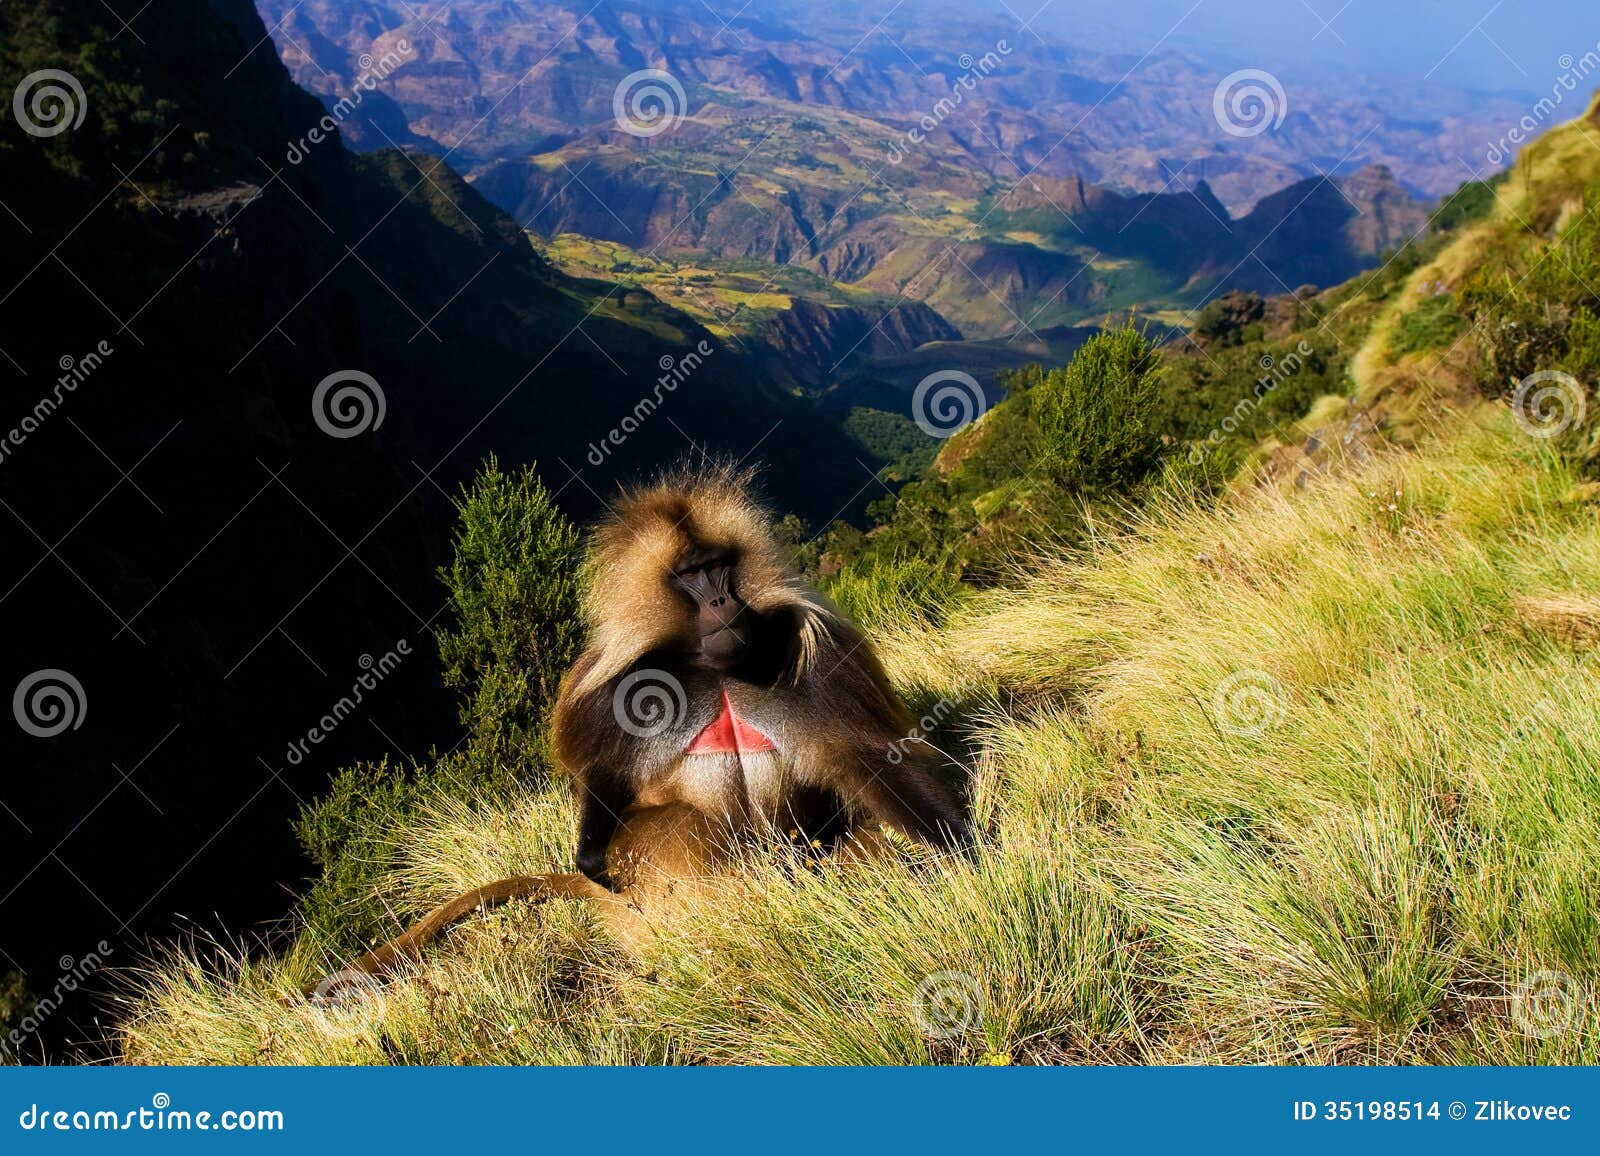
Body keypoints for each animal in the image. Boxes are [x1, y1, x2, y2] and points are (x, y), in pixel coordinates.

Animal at [303, 464, 967, 1000]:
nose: (723, 601)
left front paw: (958, 850)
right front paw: (591, 852)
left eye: (721, 567)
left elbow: (865, 760)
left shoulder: (821, 656)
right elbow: (603, 776)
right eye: (692, 575)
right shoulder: (612, 689)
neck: (716, 669)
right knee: (686, 828)